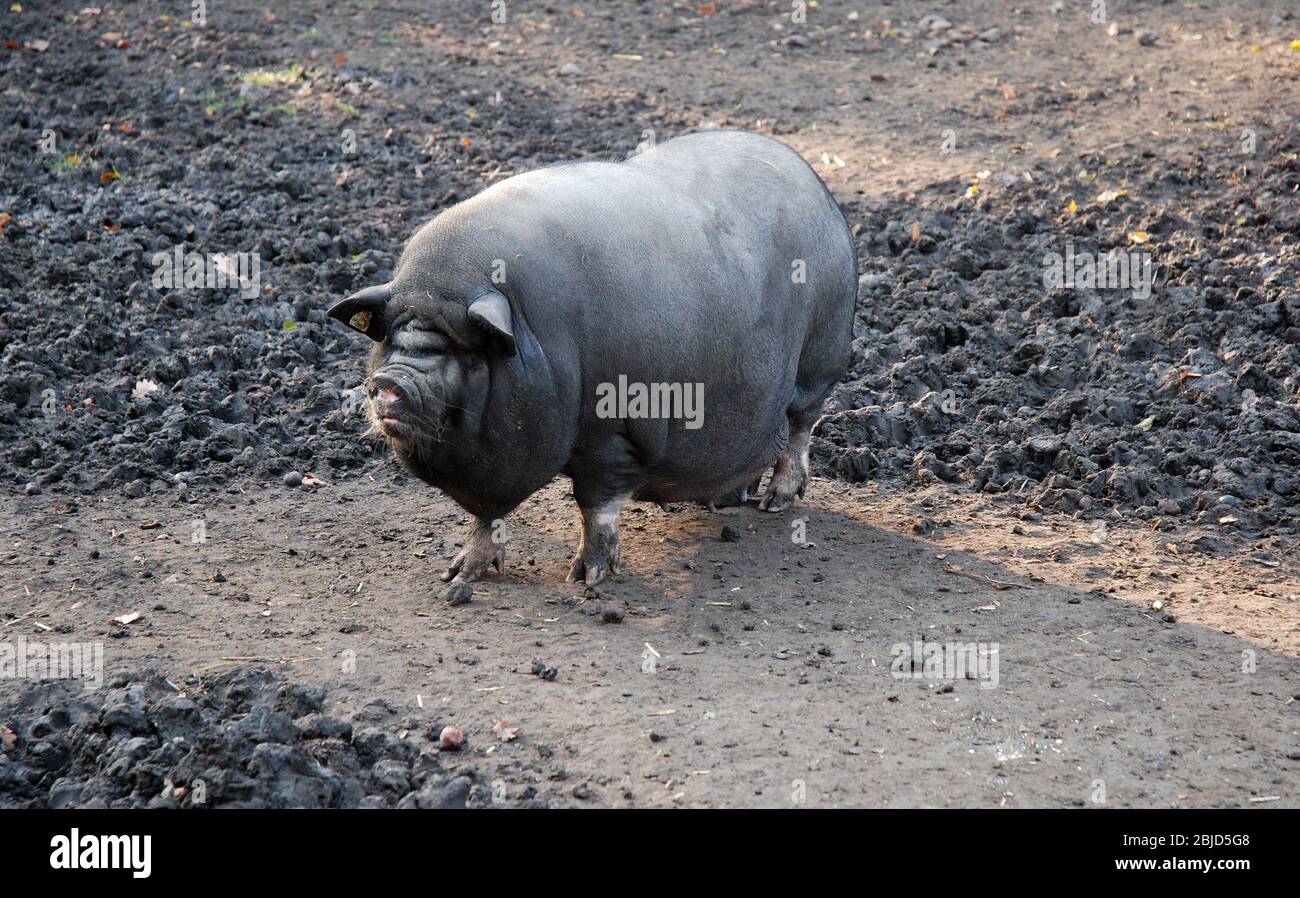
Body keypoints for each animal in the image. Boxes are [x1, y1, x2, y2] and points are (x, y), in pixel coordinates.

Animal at [327, 130, 856, 590]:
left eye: (466, 349)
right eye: (393, 336)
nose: (391, 381)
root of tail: (811, 178)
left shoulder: (614, 430)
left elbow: (595, 506)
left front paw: (586, 580)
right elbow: (487, 515)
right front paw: (457, 577)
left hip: (821, 357)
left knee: (801, 425)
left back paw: (775, 503)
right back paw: (727, 501)